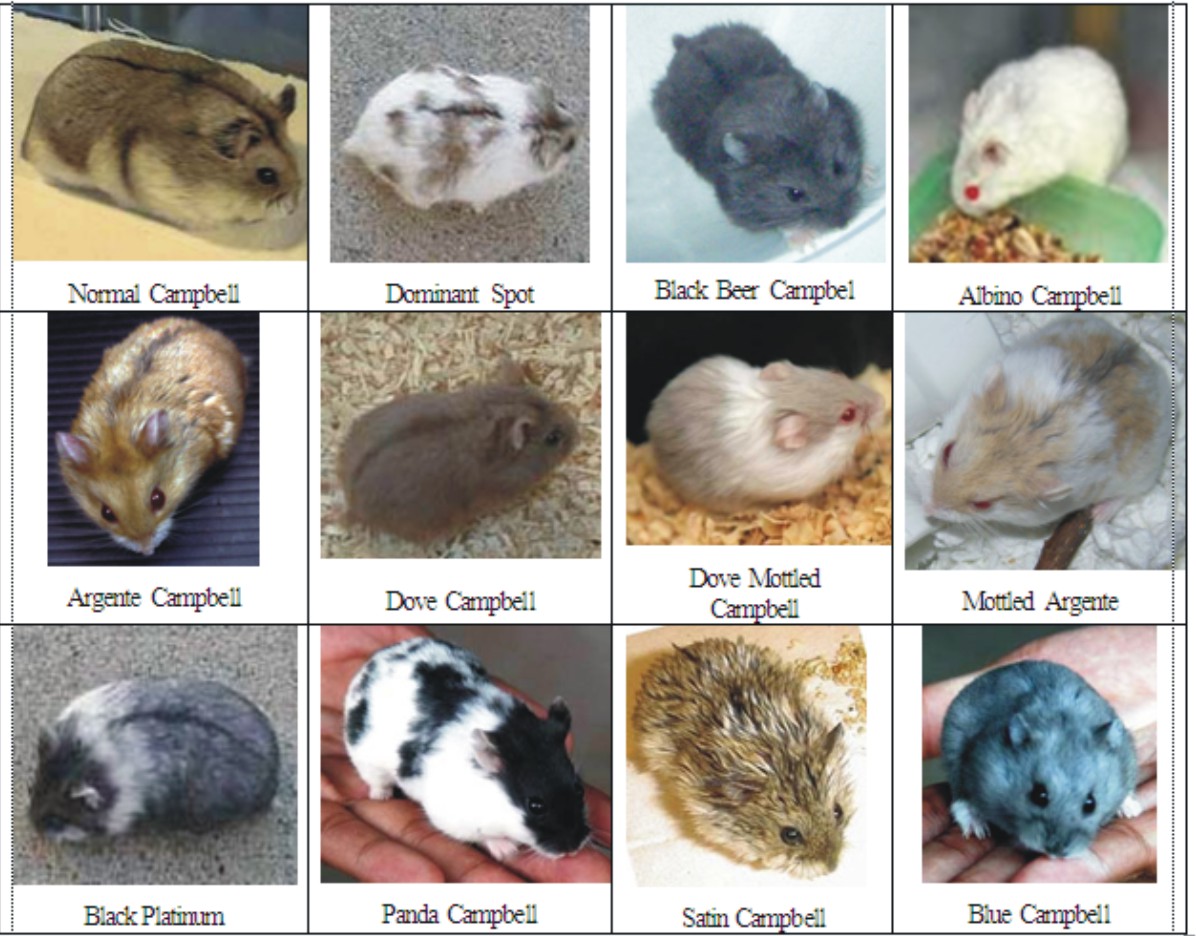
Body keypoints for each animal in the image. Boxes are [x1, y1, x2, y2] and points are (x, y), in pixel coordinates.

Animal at [343, 64, 579, 211]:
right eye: (568, 146)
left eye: (562, 104)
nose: (581, 132)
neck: (533, 123)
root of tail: (358, 136)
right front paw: (481, 210)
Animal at [343, 638, 589, 861]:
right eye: (535, 806)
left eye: (579, 789)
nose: (573, 849)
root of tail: (375, 659)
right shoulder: (454, 817)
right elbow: (483, 835)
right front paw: (507, 851)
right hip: (367, 762)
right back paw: (381, 797)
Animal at [927, 315, 1169, 527]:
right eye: (946, 452)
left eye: (982, 504)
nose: (928, 509)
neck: (1027, 433)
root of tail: (1150, 364)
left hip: (1140, 474)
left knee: (1127, 495)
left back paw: (1099, 515)